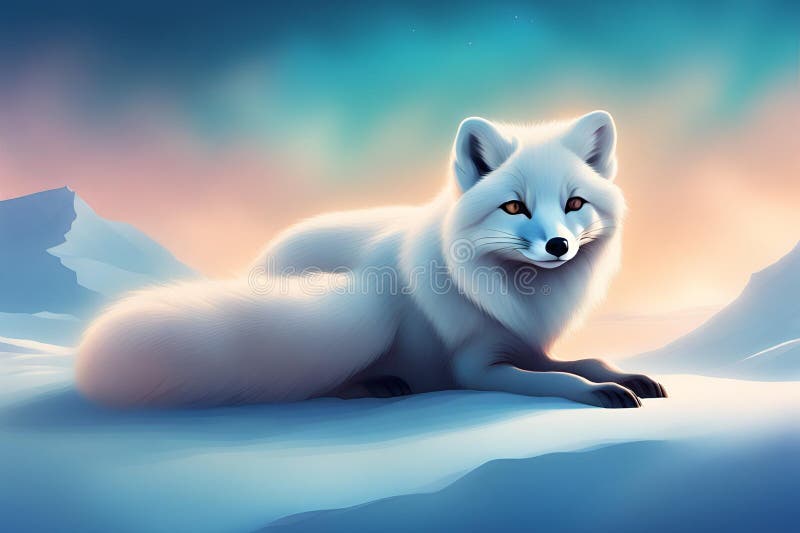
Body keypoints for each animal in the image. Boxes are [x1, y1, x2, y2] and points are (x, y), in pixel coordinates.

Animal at [76, 110, 666, 409]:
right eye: (515, 207)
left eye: (574, 204)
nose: (557, 246)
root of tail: (259, 263)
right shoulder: (476, 367)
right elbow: (555, 381)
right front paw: (600, 392)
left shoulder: (524, 343)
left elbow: (586, 360)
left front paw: (629, 376)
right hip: (362, 319)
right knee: (315, 381)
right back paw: (375, 386)